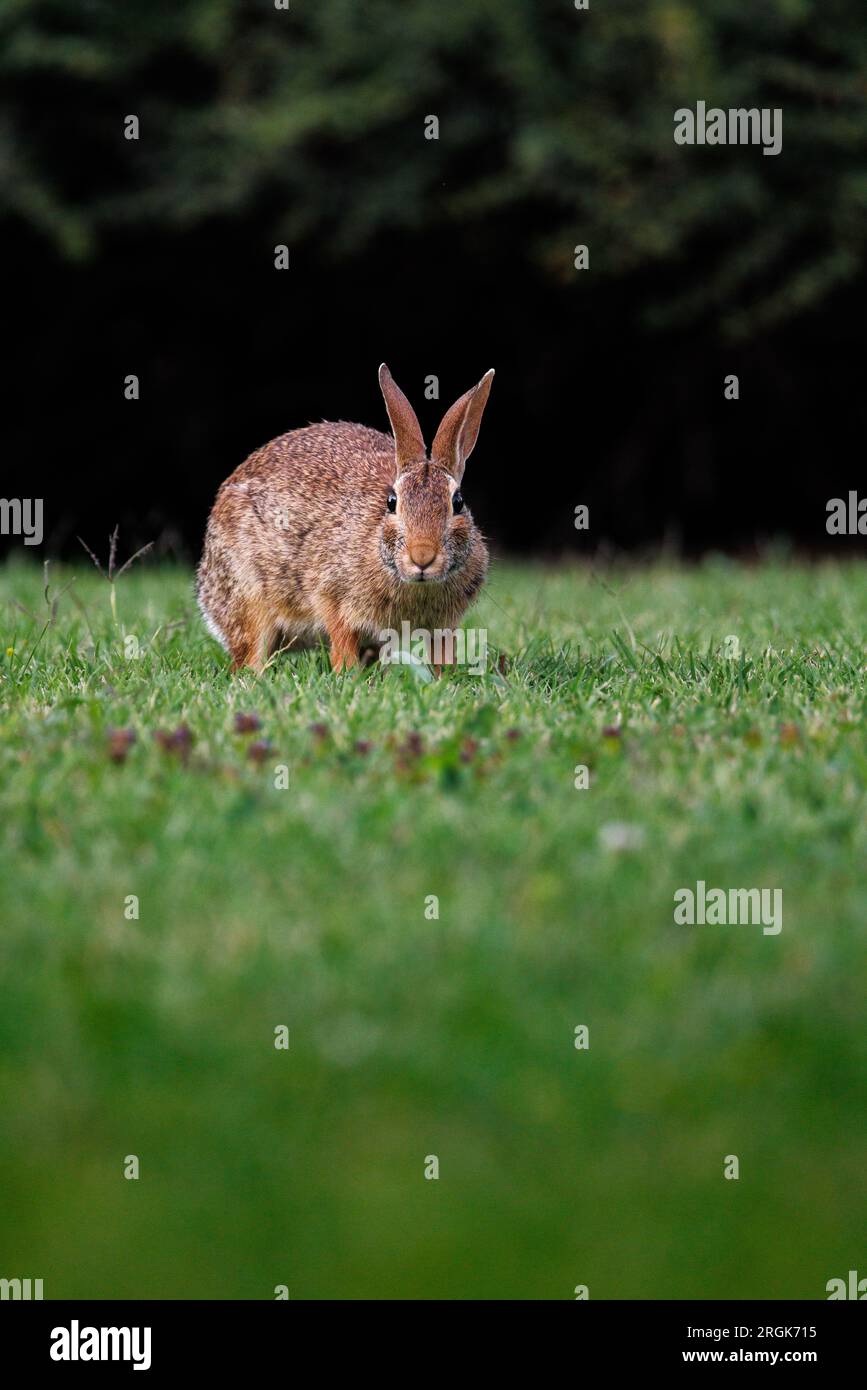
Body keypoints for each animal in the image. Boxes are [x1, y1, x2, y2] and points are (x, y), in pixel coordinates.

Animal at [196, 364, 494, 672]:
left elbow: (441, 655)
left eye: (458, 502)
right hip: (248, 596)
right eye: (392, 502)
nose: (422, 557)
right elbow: (342, 641)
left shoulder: (443, 626)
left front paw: (444, 676)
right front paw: (347, 674)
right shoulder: (333, 597)